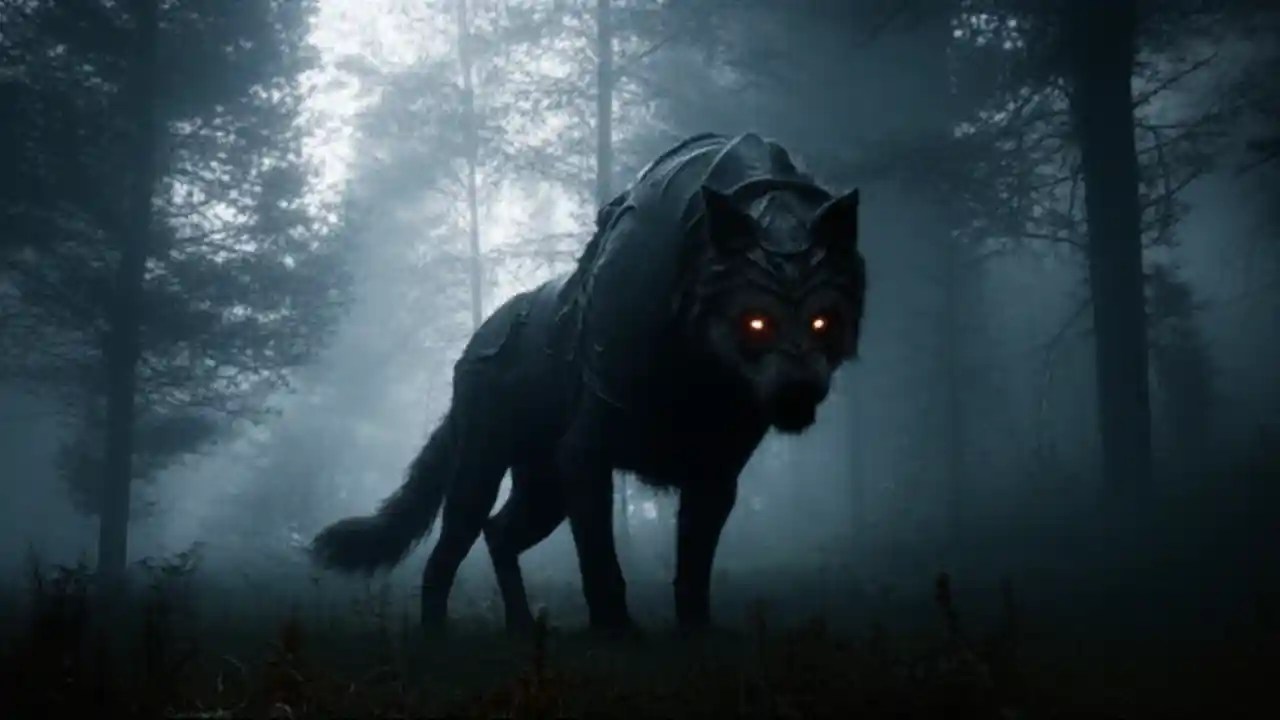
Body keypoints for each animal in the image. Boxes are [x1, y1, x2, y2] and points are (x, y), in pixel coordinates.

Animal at [310, 132, 866, 633]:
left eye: (823, 321)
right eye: (756, 321)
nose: (797, 392)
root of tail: (476, 341)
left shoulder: (716, 471)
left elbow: (693, 566)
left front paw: (696, 632)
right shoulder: (586, 452)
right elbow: (601, 561)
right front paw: (617, 631)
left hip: (543, 485)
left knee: (500, 533)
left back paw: (522, 628)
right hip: (483, 468)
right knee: (449, 550)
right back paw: (435, 635)